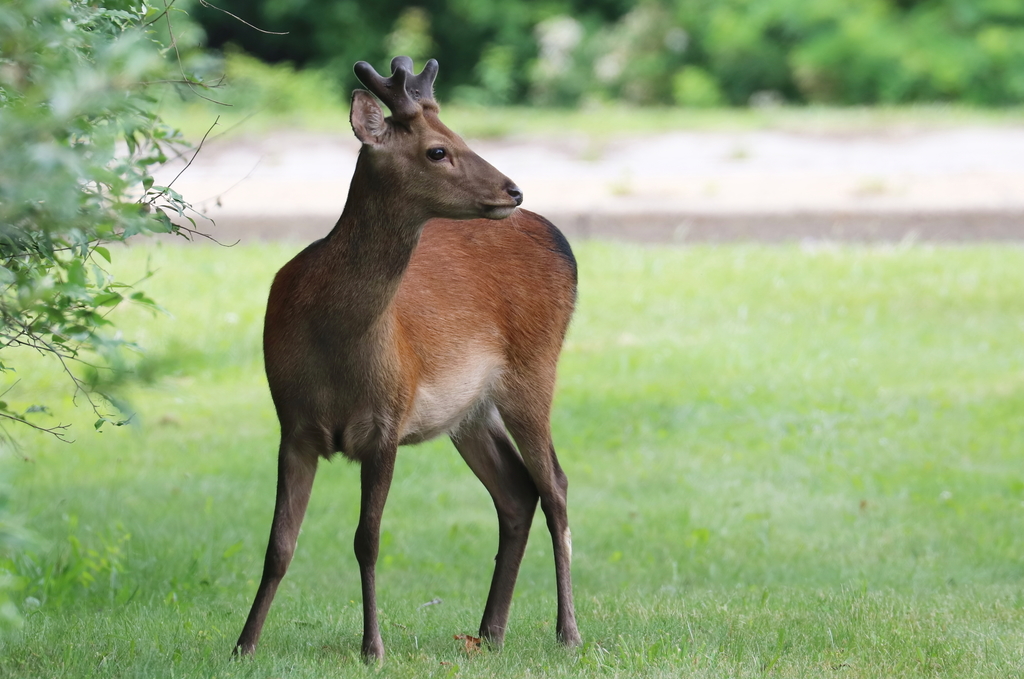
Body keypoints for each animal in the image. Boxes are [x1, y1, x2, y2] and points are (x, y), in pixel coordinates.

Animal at [233, 56, 582, 661]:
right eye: (438, 150)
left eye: (459, 134)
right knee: (517, 492)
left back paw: (568, 632)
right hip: (469, 410)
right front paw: (244, 645)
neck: (335, 342)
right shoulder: (292, 423)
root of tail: (561, 239)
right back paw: (489, 632)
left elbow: (367, 540)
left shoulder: (386, 419)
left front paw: (372, 647)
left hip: (535, 369)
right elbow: (279, 543)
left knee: (555, 486)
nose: (512, 189)